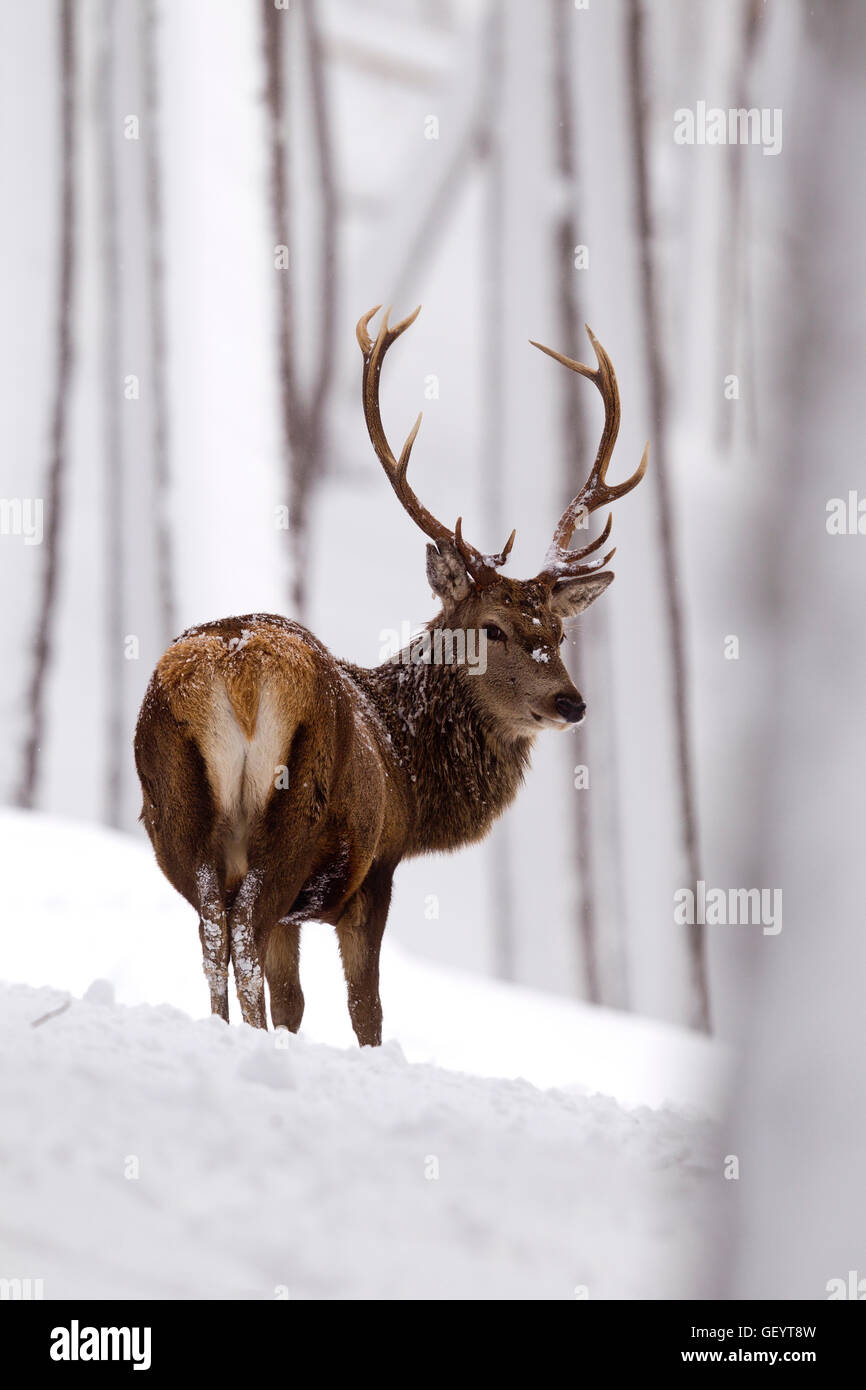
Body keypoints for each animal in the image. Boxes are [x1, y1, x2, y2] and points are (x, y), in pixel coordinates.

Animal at [134, 306, 647, 1045]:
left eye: (558, 632)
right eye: (492, 627)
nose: (570, 702)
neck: (410, 769)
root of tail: (236, 665)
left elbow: (295, 1000)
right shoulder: (376, 867)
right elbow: (364, 1007)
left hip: (177, 813)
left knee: (211, 938)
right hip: (296, 814)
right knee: (243, 935)